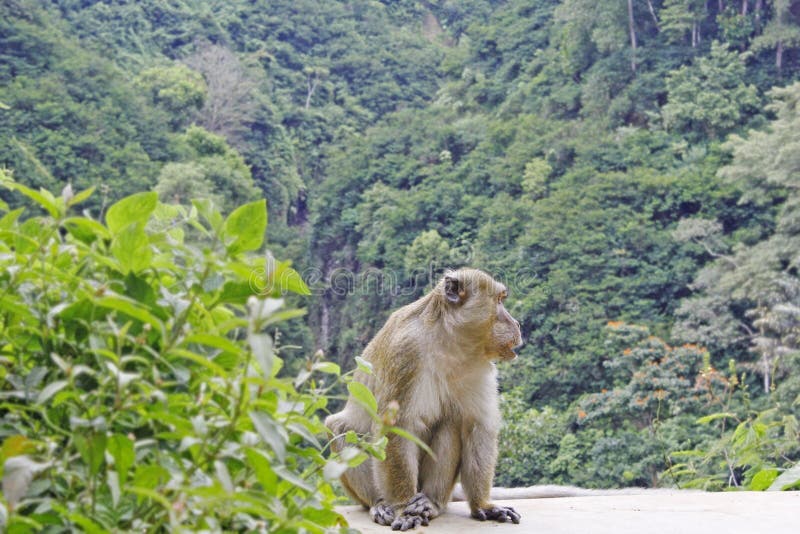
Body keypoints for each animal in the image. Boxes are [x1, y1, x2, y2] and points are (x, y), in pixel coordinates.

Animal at [325, 268, 523, 531]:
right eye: (500, 300)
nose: (516, 323)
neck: (448, 341)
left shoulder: (478, 366)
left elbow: (478, 426)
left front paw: (484, 505)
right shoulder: (405, 353)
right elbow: (395, 429)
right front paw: (402, 508)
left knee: (451, 422)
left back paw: (431, 502)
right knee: (343, 428)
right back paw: (381, 503)